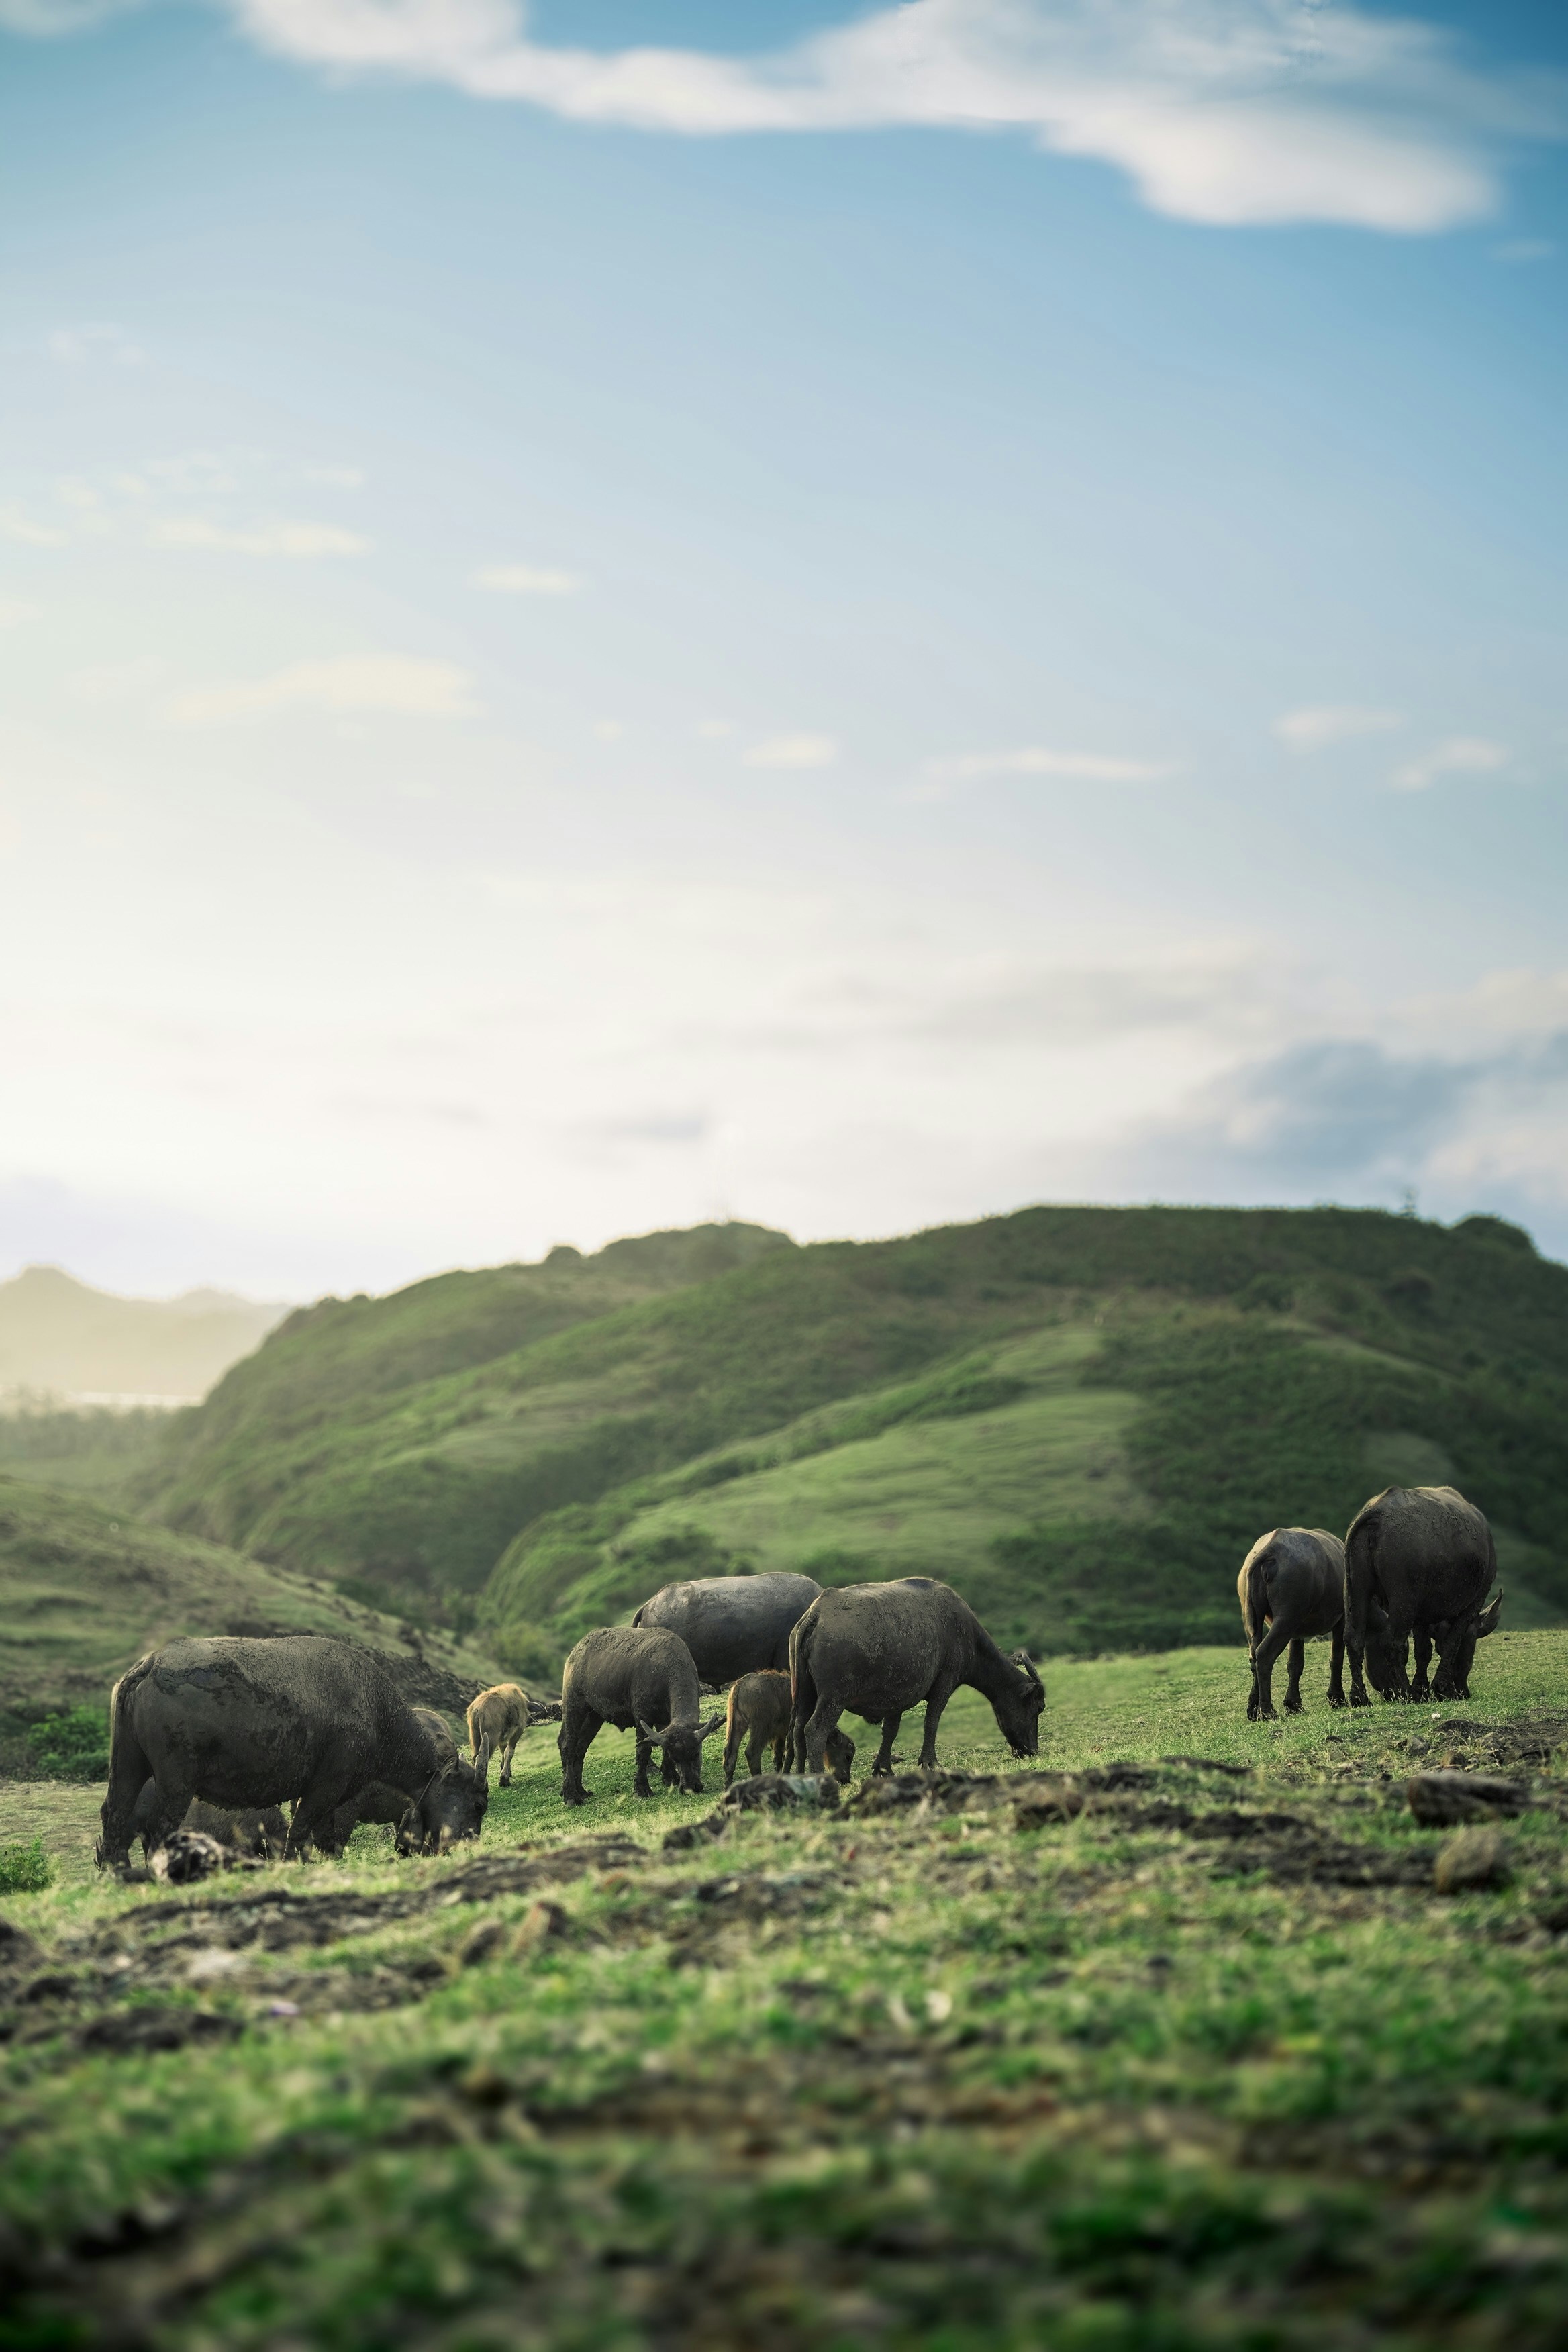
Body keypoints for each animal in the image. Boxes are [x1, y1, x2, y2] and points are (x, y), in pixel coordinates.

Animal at [97, 1637, 488, 1866]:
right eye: (478, 1805)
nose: (467, 1846)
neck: (376, 1711)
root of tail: (149, 1667)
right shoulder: (325, 1789)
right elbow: (301, 1832)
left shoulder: (328, 1797)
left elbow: (324, 1839)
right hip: (176, 1783)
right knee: (158, 1829)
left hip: (127, 1769)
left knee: (114, 1819)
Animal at [558, 1626, 723, 1805]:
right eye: (676, 1758)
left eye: (696, 1753)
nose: (690, 1787)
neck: (666, 1668)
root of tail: (575, 1652)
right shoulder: (643, 1717)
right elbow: (643, 1751)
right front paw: (642, 1789)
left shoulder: (665, 1721)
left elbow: (662, 1746)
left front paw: (670, 1778)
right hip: (574, 1707)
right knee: (567, 1746)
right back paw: (571, 1795)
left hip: (594, 1716)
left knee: (580, 1748)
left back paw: (581, 1791)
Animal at [789, 1579, 1043, 1775]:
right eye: (1038, 1708)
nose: (1033, 1750)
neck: (965, 1634)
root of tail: (817, 1614)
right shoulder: (945, 1684)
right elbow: (932, 1721)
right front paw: (930, 1762)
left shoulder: (896, 1697)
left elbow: (891, 1731)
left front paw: (883, 1768)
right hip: (833, 1698)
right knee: (814, 1730)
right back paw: (817, 1775)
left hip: (804, 1695)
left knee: (798, 1732)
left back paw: (799, 1775)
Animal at [1238, 1527, 1348, 1719]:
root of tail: (1270, 1549)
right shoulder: (1341, 1621)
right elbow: (1336, 1658)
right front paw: (1338, 1698)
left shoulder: (1297, 1634)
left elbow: (1295, 1665)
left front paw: (1293, 1705)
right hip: (1285, 1620)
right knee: (1264, 1655)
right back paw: (1267, 1711)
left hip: (1255, 1618)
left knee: (1253, 1656)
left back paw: (1253, 1709)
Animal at [1345, 1485, 1503, 1705]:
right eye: (1470, 1648)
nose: (1464, 1691)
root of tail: (1376, 1515)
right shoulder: (1472, 1604)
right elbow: (1451, 1643)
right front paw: (1441, 1688)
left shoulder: (1422, 1614)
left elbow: (1423, 1650)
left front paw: (1423, 1689)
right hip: (1403, 1600)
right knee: (1392, 1642)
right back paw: (1405, 1691)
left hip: (1357, 1589)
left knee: (1354, 1639)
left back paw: (1359, 1697)